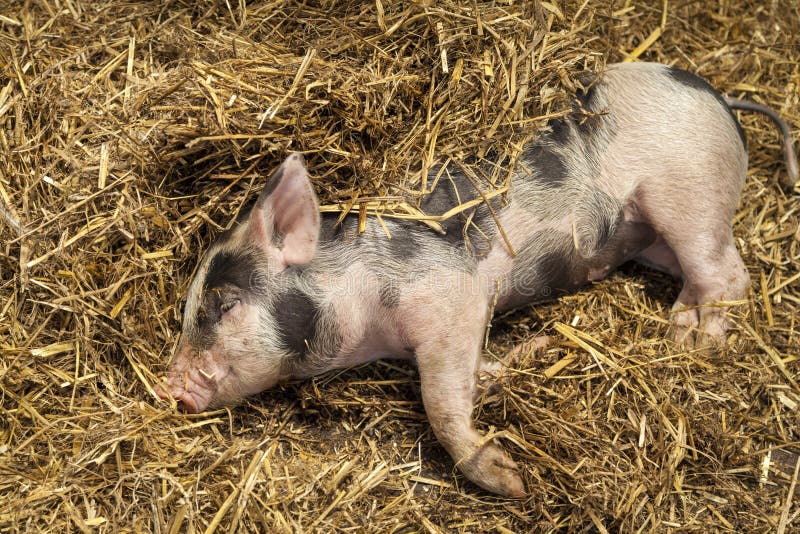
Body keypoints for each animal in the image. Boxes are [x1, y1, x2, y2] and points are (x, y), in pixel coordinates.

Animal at [159, 62, 798, 497]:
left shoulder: (451, 292)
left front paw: (512, 481)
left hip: (686, 193)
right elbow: (477, 374)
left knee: (729, 271)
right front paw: (536, 353)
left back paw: (691, 338)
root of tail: (718, 97)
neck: (365, 324)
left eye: (219, 305)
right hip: (652, 235)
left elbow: (441, 404)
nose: (171, 390)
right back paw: (681, 325)